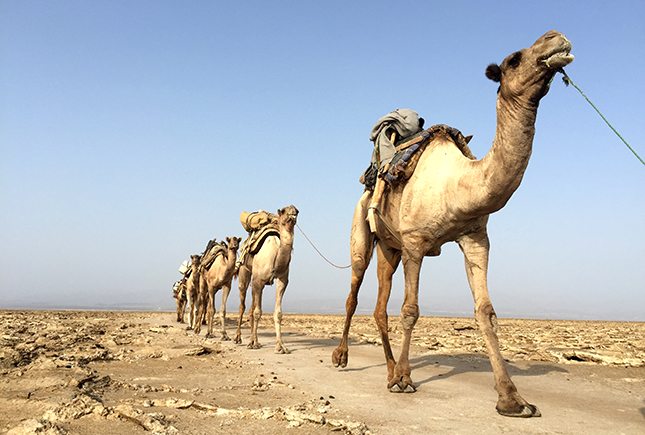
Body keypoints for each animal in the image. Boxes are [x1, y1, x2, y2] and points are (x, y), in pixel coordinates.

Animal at [234, 205, 299, 353]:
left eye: (297, 211)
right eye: (284, 210)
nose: (293, 212)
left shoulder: (282, 281)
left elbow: (278, 313)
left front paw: (281, 346)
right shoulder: (258, 281)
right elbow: (258, 312)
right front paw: (255, 344)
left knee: (251, 308)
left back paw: (252, 339)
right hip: (245, 272)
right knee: (243, 305)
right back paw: (239, 338)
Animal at [331, 30, 574, 418]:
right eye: (514, 59)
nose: (556, 38)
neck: (457, 185)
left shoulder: (475, 238)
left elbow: (486, 313)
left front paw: (513, 399)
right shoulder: (415, 242)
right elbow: (411, 310)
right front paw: (405, 381)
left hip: (390, 248)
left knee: (380, 305)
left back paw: (388, 369)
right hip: (362, 235)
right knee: (353, 292)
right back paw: (344, 357)